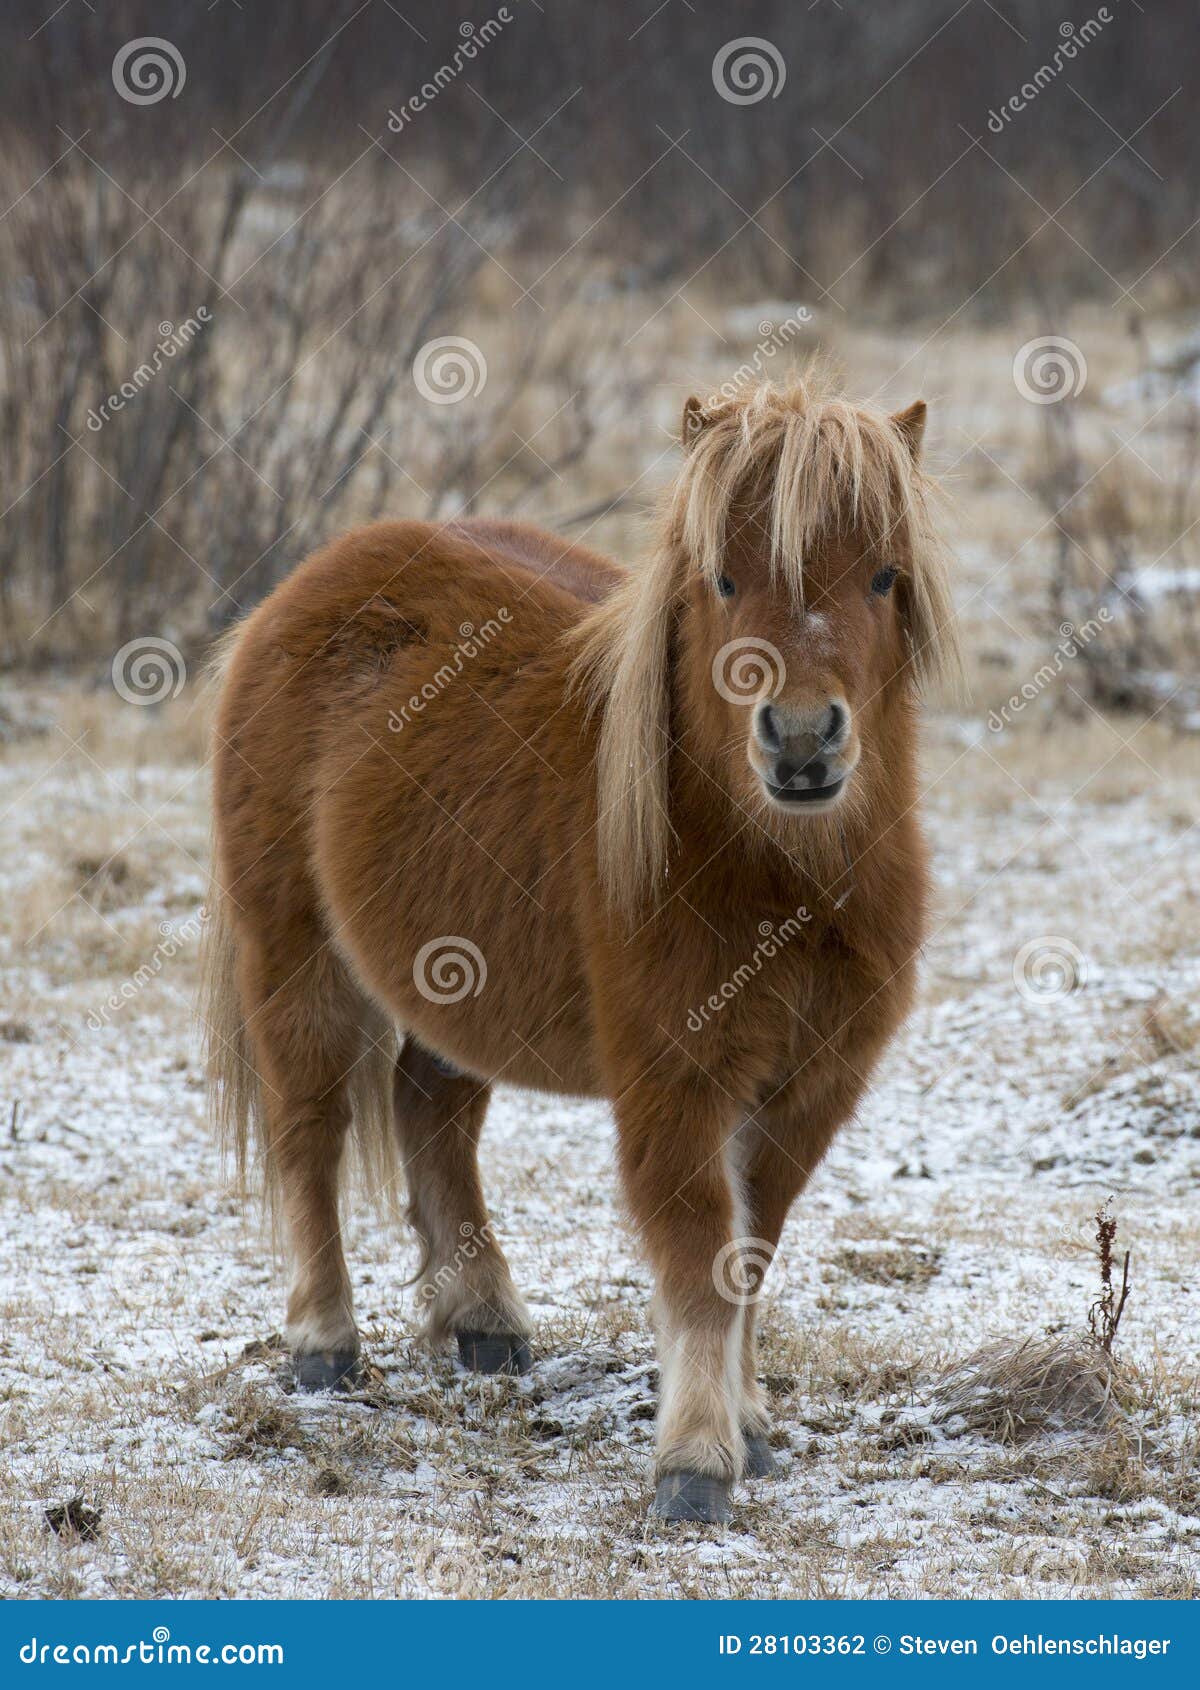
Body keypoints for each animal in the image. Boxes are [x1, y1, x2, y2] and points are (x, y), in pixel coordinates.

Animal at [200, 372, 961, 1525]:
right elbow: (700, 1251)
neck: (773, 873)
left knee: (431, 1117)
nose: (799, 741)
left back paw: (484, 1323)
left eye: (882, 575)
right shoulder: (673, 1079)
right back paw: (325, 1345)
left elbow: (755, 1246)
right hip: (296, 957)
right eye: (723, 579)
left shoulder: (811, 1087)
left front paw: (752, 1427)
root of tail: (309, 585)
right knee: (310, 1130)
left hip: (449, 977)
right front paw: (695, 1464)